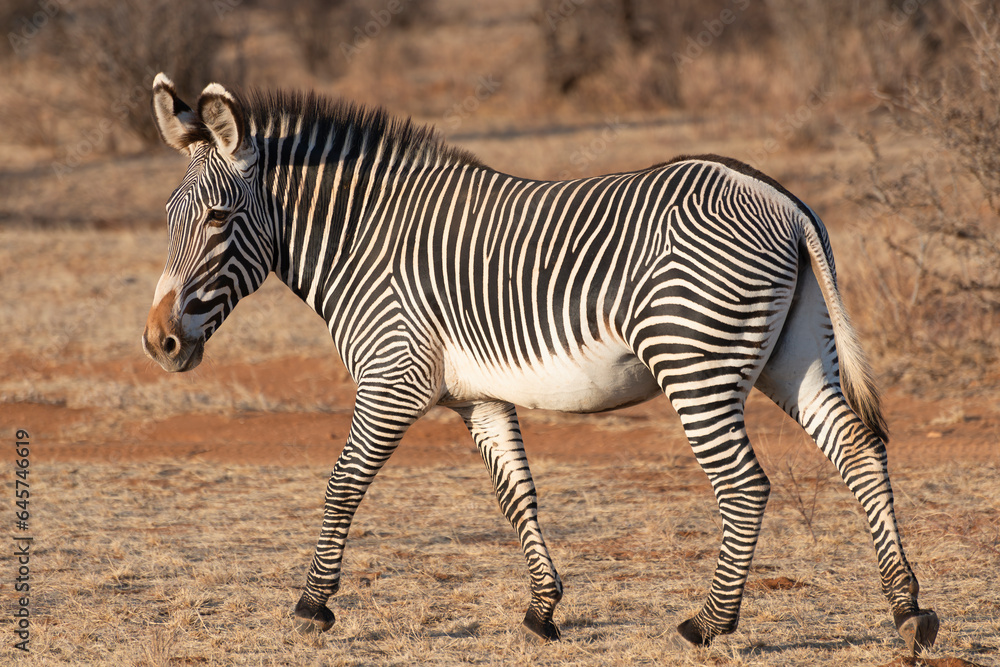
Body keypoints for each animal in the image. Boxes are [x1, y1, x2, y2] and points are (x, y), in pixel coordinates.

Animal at [142, 73, 939, 652]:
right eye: (169, 217)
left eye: (217, 219)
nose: (159, 343)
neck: (365, 240)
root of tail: (776, 194)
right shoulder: (480, 394)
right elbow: (516, 494)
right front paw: (543, 608)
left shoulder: (393, 377)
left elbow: (343, 483)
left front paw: (312, 605)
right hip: (793, 355)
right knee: (859, 450)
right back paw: (908, 609)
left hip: (695, 363)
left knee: (745, 485)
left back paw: (708, 624)